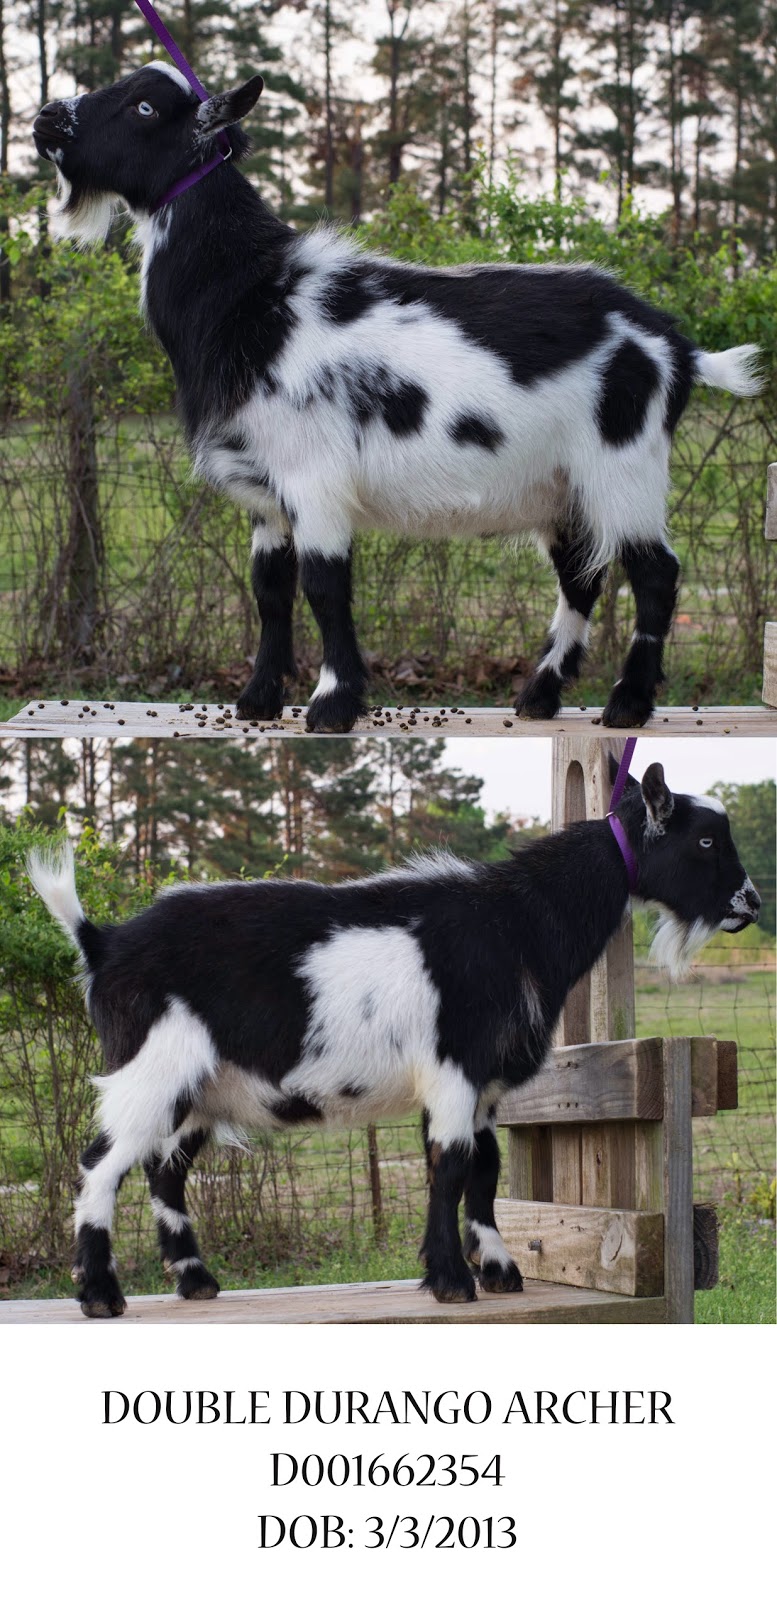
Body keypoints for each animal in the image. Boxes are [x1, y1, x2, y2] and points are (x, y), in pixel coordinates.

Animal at [28, 762, 759, 1317]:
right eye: (704, 842)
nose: (750, 903)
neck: (516, 920)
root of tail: (103, 942)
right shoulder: (453, 1068)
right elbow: (451, 1164)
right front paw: (453, 1282)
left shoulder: (482, 1082)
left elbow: (485, 1169)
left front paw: (496, 1268)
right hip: (151, 1068)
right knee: (100, 1165)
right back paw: (101, 1295)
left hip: (200, 1088)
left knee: (165, 1167)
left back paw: (196, 1280)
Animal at [33, 66, 763, 733]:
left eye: (144, 106)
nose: (45, 119)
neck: (253, 293)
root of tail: (676, 346)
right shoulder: (265, 490)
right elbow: (270, 590)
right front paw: (258, 700)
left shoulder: (313, 476)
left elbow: (324, 584)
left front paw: (332, 705)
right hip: (561, 487)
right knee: (581, 576)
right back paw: (539, 694)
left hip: (624, 466)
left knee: (655, 573)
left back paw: (626, 704)